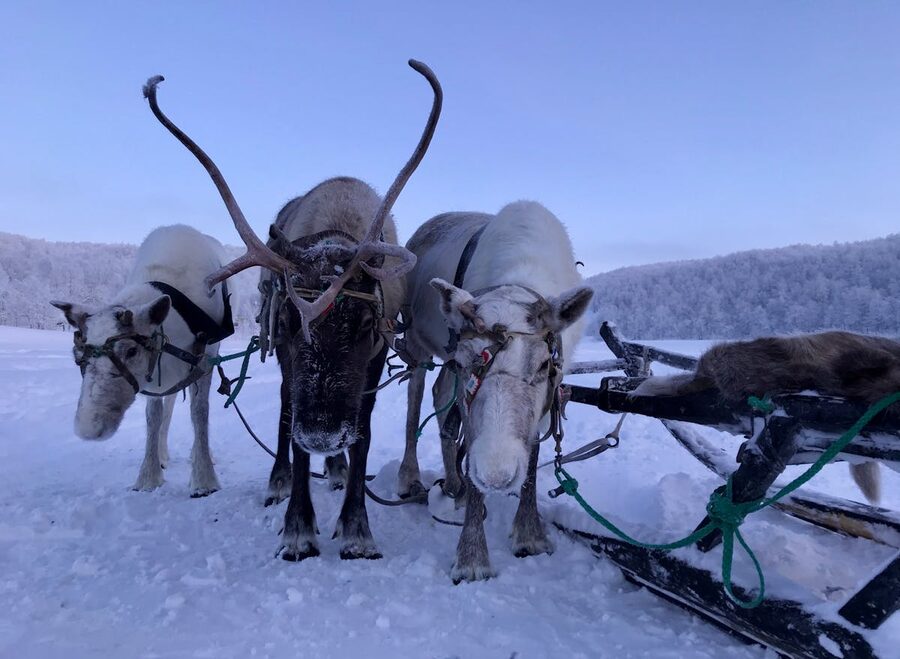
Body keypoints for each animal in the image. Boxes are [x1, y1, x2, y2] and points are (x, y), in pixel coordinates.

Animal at [51, 224, 234, 497]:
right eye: (78, 357)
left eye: (131, 351)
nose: (88, 429)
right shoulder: (155, 374)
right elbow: (153, 417)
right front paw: (148, 476)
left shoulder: (206, 358)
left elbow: (199, 412)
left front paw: (204, 479)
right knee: (168, 405)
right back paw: (162, 453)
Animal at [142, 59, 441, 559]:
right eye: (287, 320)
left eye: (365, 324)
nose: (322, 434)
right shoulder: (287, 357)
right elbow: (293, 429)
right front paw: (298, 527)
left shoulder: (374, 361)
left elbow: (363, 437)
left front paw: (356, 528)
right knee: (285, 409)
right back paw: (281, 479)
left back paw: (336, 470)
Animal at [395, 202, 593, 581]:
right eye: (466, 362)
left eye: (544, 365)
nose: (497, 475)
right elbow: (470, 446)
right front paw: (472, 558)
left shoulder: (547, 398)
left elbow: (531, 459)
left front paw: (530, 535)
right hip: (415, 344)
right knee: (415, 399)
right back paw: (410, 477)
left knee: (440, 400)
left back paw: (453, 484)